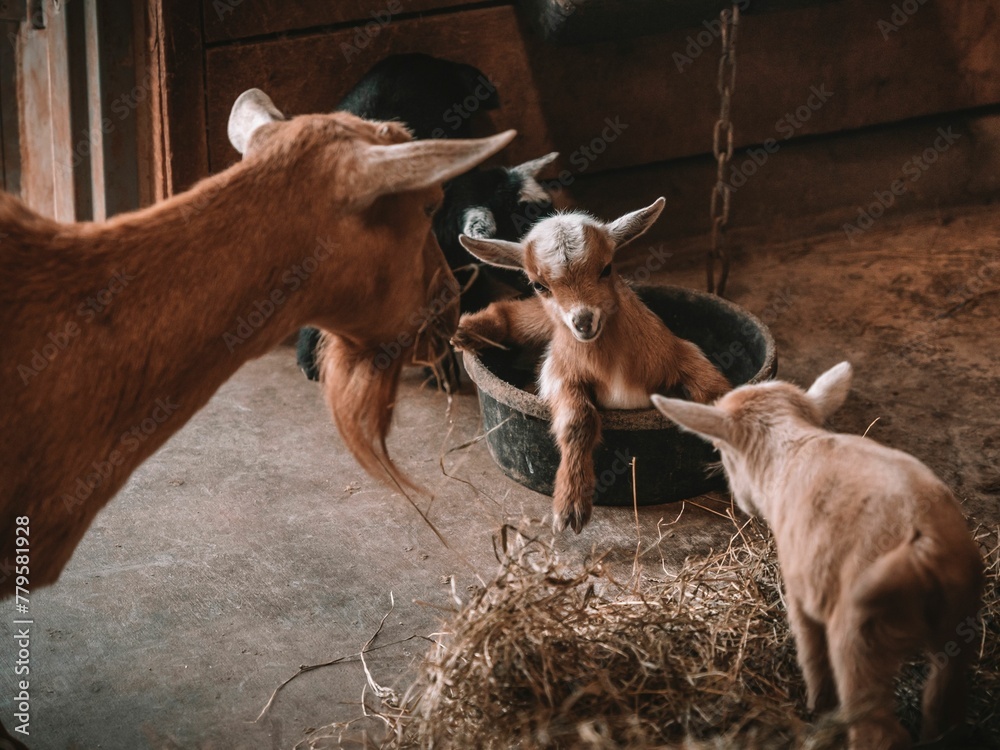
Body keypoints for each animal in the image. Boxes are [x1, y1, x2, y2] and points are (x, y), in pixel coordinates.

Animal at [453, 198, 731, 532]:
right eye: (539, 284)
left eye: (606, 268)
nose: (584, 322)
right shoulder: (558, 372)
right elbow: (578, 421)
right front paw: (571, 506)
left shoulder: (679, 353)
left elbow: (716, 394)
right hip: (545, 324)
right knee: (515, 315)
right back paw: (466, 331)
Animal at [651, 363, 984, 749]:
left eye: (721, 449)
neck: (791, 444)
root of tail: (923, 546)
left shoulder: (800, 589)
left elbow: (811, 655)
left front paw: (815, 708)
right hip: (960, 624)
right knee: (942, 706)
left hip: (858, 637)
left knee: (878, 730)